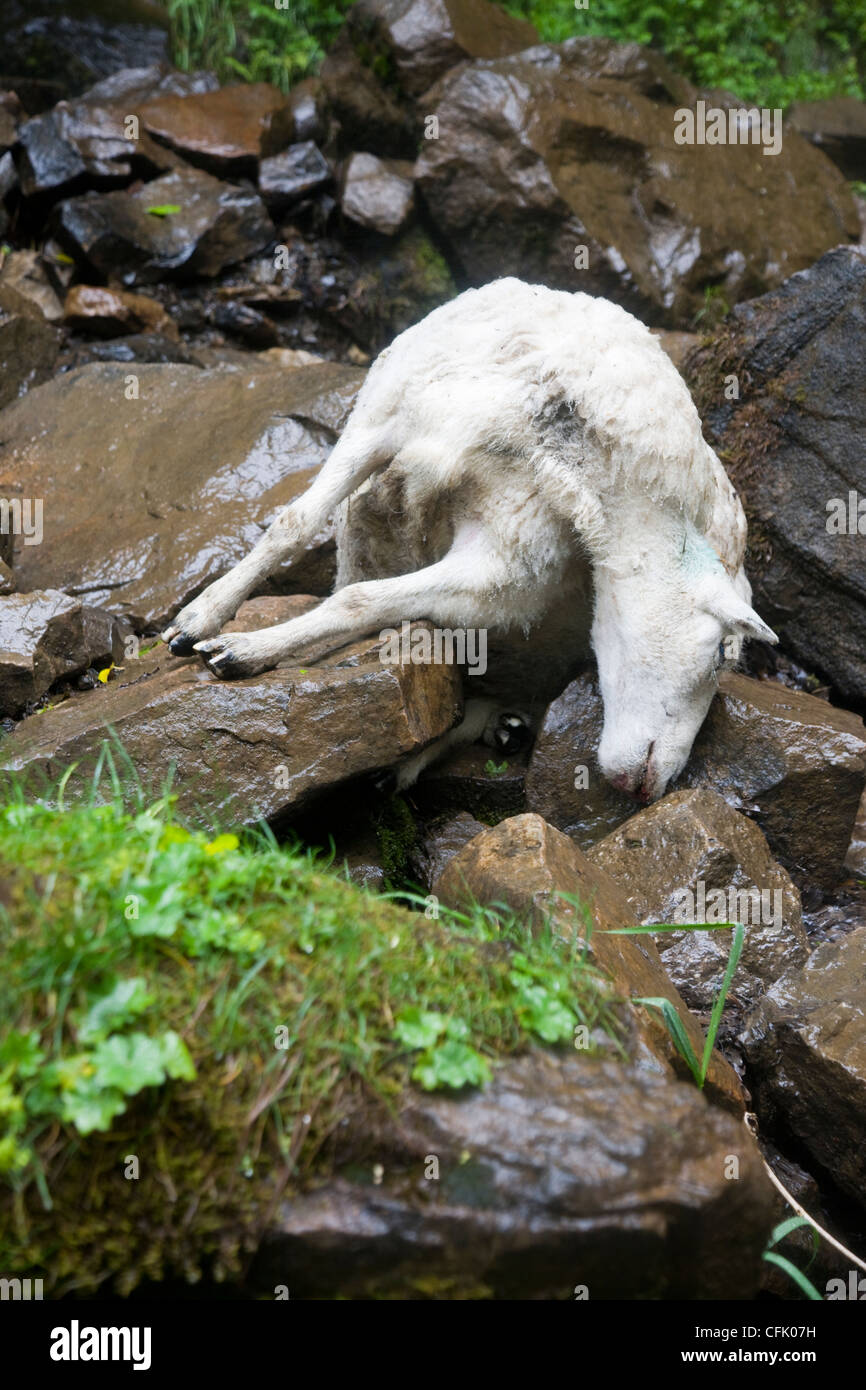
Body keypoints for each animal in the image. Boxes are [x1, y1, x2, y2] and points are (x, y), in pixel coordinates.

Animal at [162, 277, 777, 801]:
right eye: (720, 653)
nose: (657, 786)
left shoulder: (510, 559)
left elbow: (363, 600)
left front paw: (247, 650)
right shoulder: (380, 424)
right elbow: (293, 525)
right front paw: (201, 619)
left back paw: (468, 741)